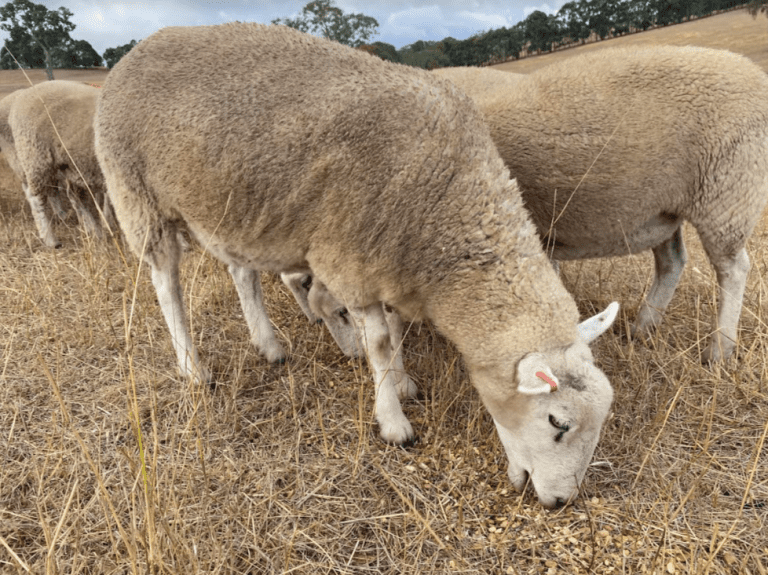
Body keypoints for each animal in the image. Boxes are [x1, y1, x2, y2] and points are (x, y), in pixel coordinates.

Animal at [0, 81, 111, 248]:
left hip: (69, 165)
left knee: (73, 195)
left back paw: (91, 229)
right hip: (35, 157)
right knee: (36, 198)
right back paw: (51, 239)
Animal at [94, 22, 619, 508]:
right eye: (557, 422)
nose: (561, 502)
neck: (448, 205)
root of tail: (137, 50)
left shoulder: (389, 259)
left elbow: (392, 327)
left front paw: (402, 382)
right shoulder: (354, 256)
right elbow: (382, 341)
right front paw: (394, 422)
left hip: (230, 207)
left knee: (242, 272)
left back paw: (269, 344)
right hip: (137, 194)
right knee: (167, 286)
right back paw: (193, 367)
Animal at [434, 48, 768, 362]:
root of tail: (755, 74)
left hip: (727, 194)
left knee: (732, 268)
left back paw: (719, 349)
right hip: (662, 207)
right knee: (672, 262)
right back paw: (643, 327)